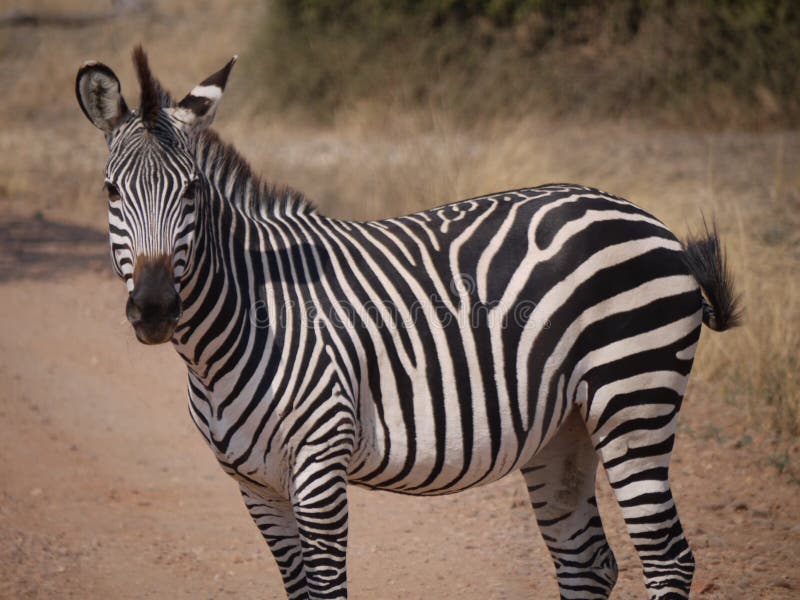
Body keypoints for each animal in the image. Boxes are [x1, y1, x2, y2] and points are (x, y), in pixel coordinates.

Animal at [75, 47, 740, 599]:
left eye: (191, 192)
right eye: (111, 192)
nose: (155, 309)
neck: (240, 324)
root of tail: (644, 216)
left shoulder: (320, 462)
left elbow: (326, 590)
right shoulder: (255, 485)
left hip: (633, 400)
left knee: (668, 558)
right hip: (565, 426)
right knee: (588, 563)